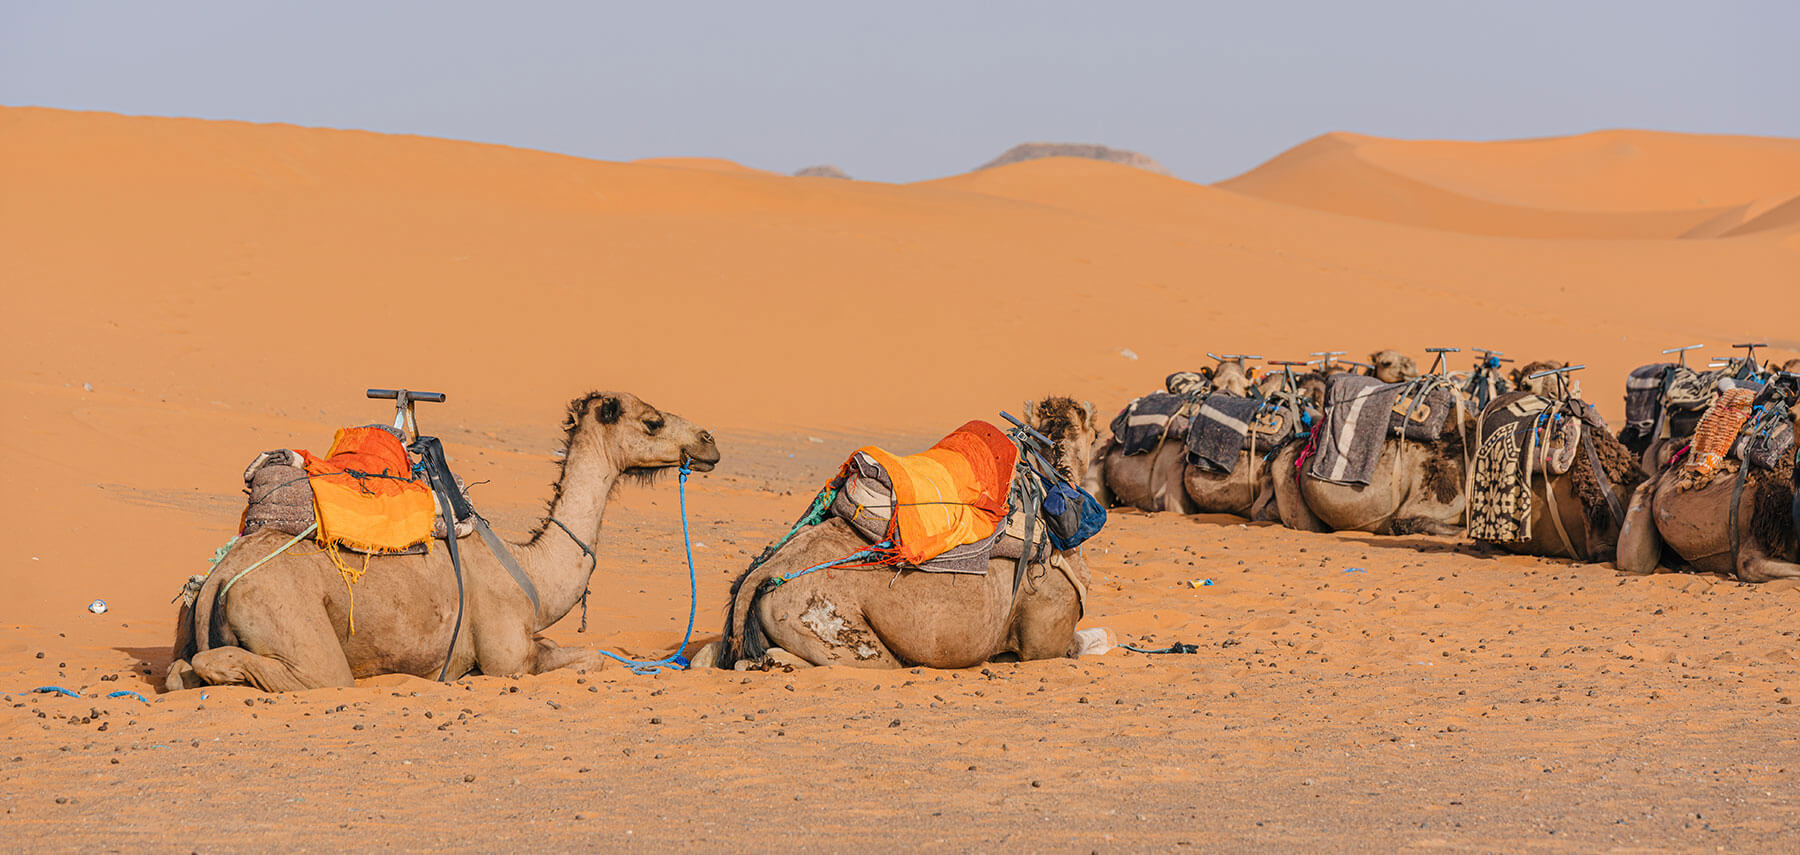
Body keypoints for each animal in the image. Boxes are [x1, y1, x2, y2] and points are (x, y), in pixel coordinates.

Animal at [165, 391, 721, 692]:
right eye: (652, 421)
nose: (709, 441)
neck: (531, 570)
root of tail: (217, 579)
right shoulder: (508, 657)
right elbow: (591, 659)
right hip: (296, 627)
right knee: (311, 674)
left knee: (177, 669)